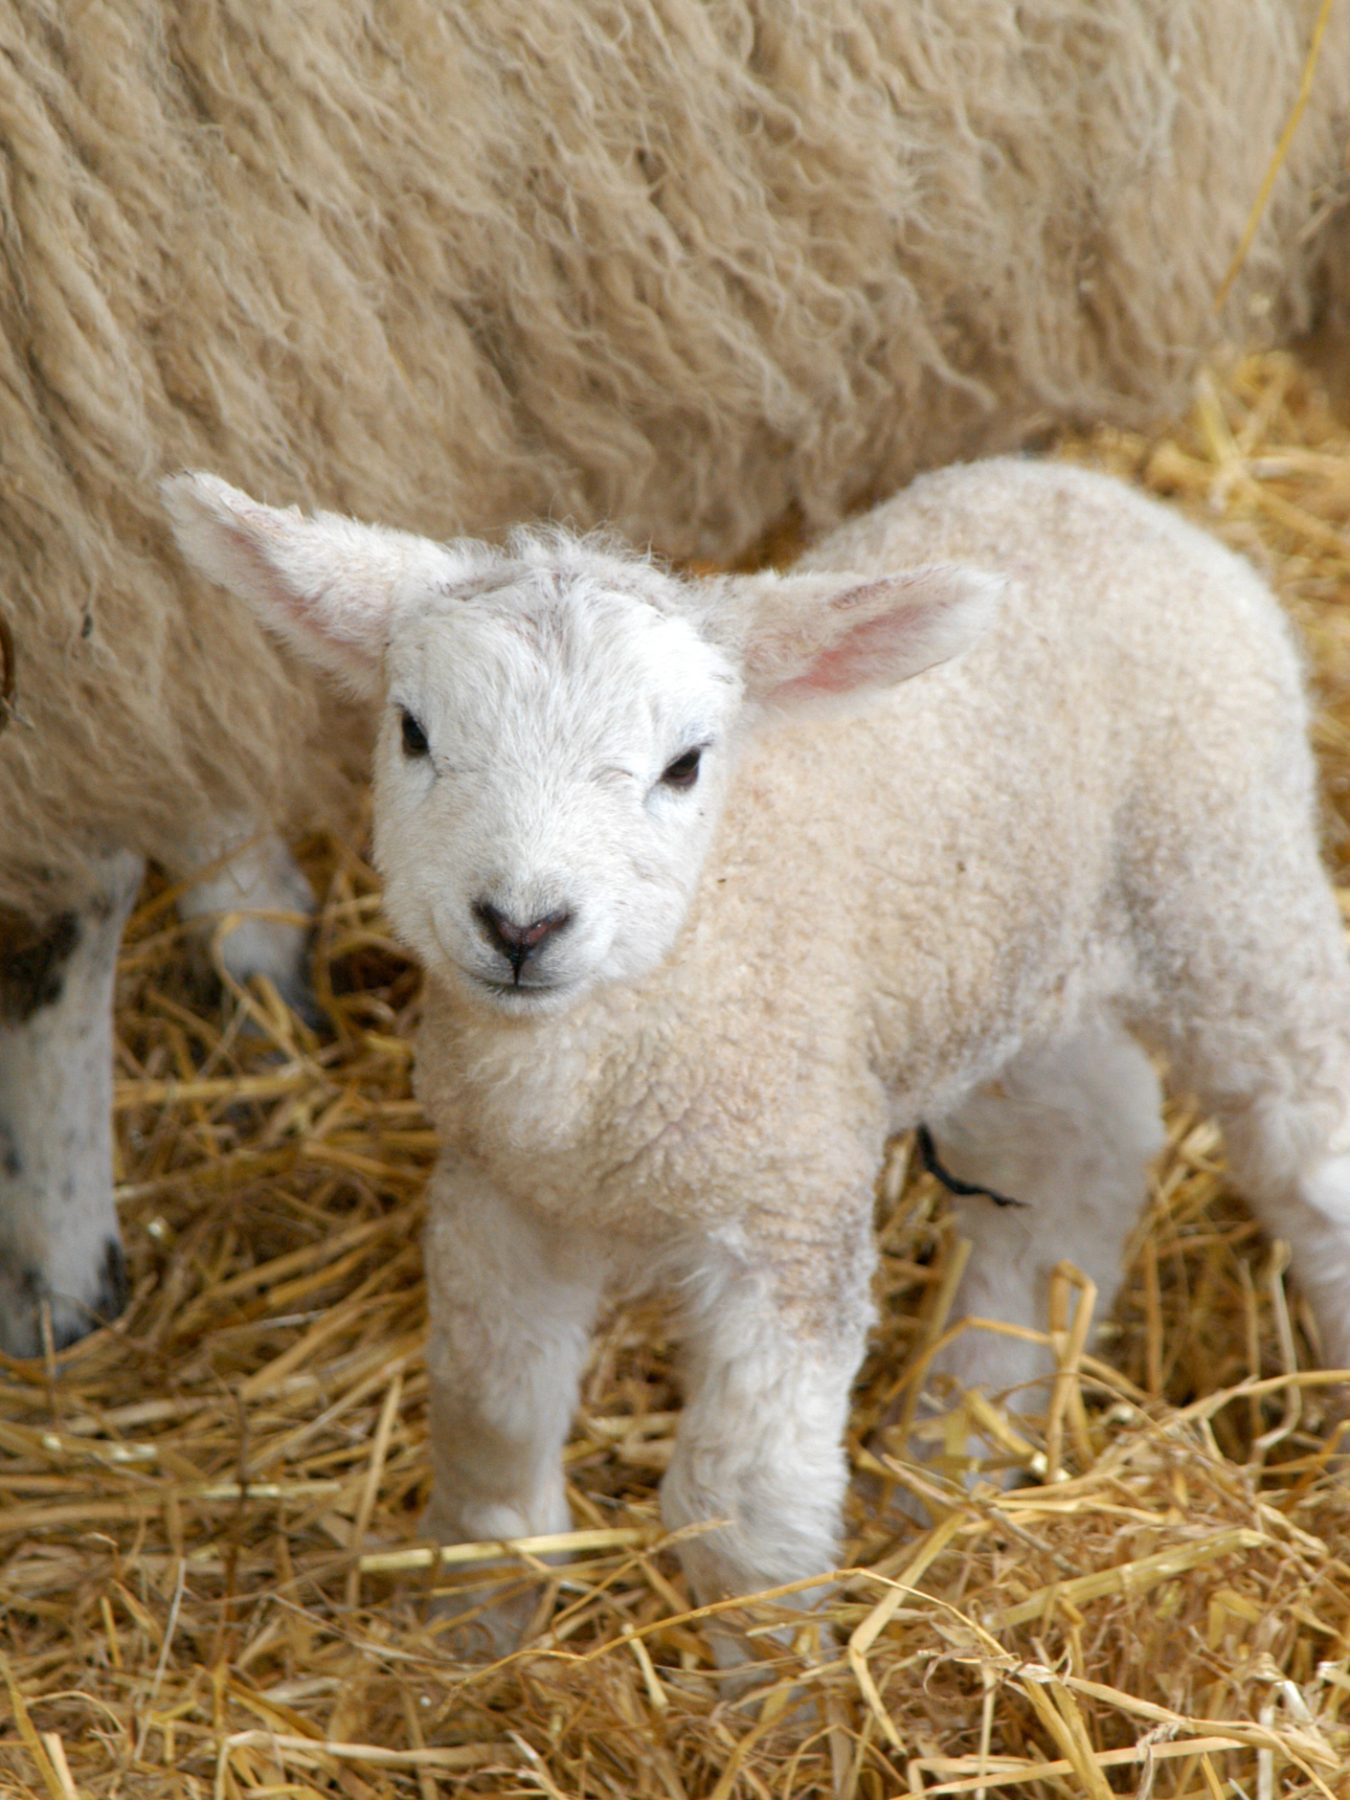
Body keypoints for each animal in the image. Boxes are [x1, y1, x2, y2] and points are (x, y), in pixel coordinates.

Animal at [164, 456, 1350, 1653]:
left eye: (686, 766)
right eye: (412, 732)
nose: (522, 925)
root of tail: (1109, 493)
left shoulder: (788, 1213)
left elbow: (736, 1509)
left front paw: (780, 1675)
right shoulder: (496, 1199)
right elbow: (489, 1417)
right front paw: (474, 1627)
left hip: (1221, 882)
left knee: (1305, 1142)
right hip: (1001, 970)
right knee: (1078, 1148)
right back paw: (958, 1438)